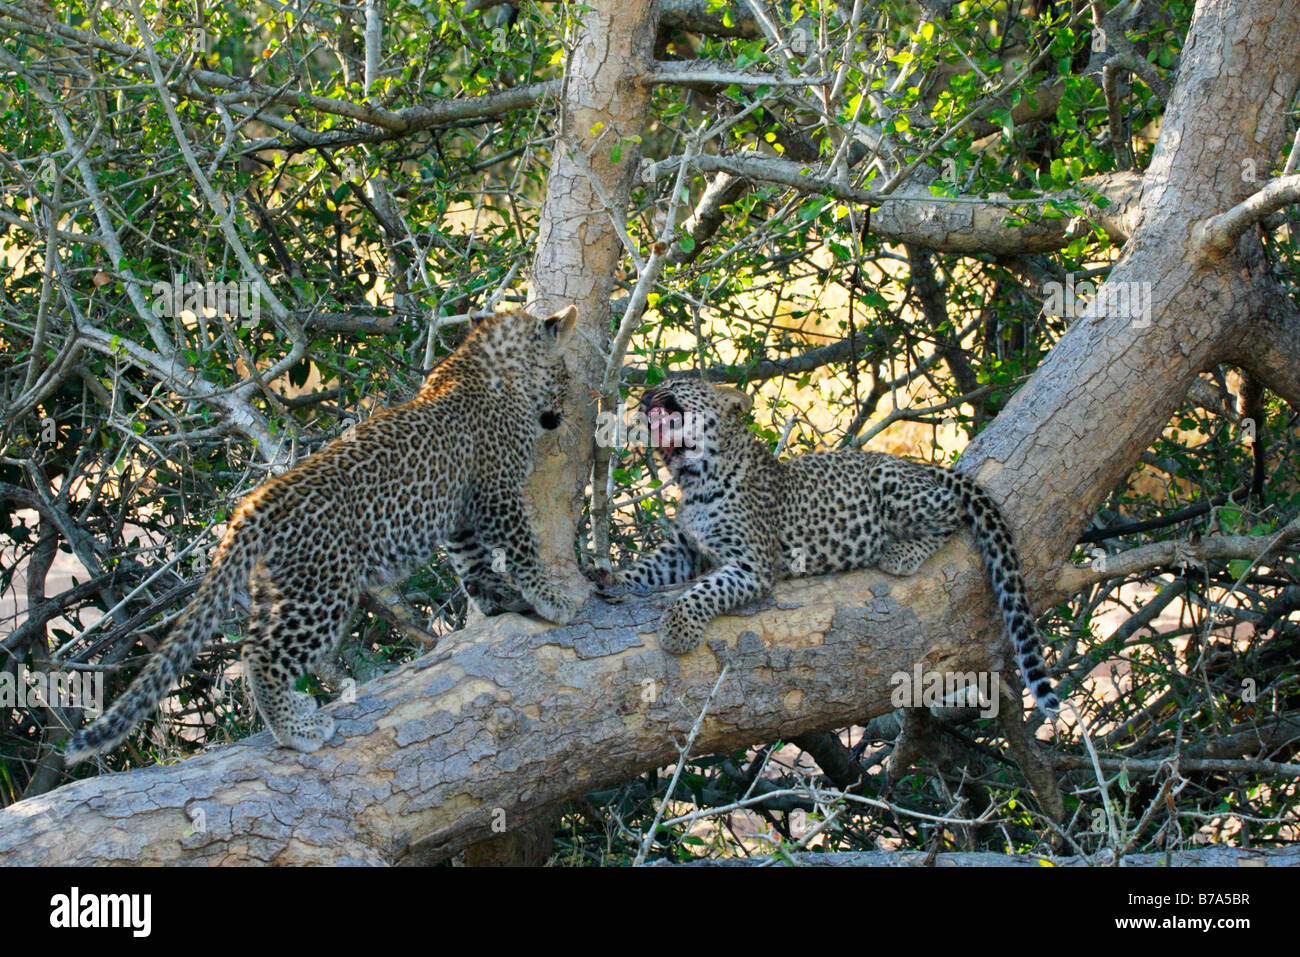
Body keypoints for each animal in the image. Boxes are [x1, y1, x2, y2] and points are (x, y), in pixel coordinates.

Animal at [66, 306, 584, 764]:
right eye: (567, 376)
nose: (565, 409)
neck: (485, 362)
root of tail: (257, 501)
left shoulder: (461, 510)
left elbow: (472, 563)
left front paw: (500, 600)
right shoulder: (497, 494)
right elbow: (521, 549)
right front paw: (550, 598)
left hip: (281, 587)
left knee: (253, 644)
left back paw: (291, 711)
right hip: (322, 589)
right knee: (263, 654)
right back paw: (294, 731)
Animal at [596, 378, 1059, 714]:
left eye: (674, 384)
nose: (643, 397)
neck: (695, 478)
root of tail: (923, 467)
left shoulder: (751, 564)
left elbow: (701, 592)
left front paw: (677, 629)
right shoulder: (684, 549)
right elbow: (645, 568)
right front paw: (608, 579)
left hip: (892, 482)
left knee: (955, 514)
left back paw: (900, 553)